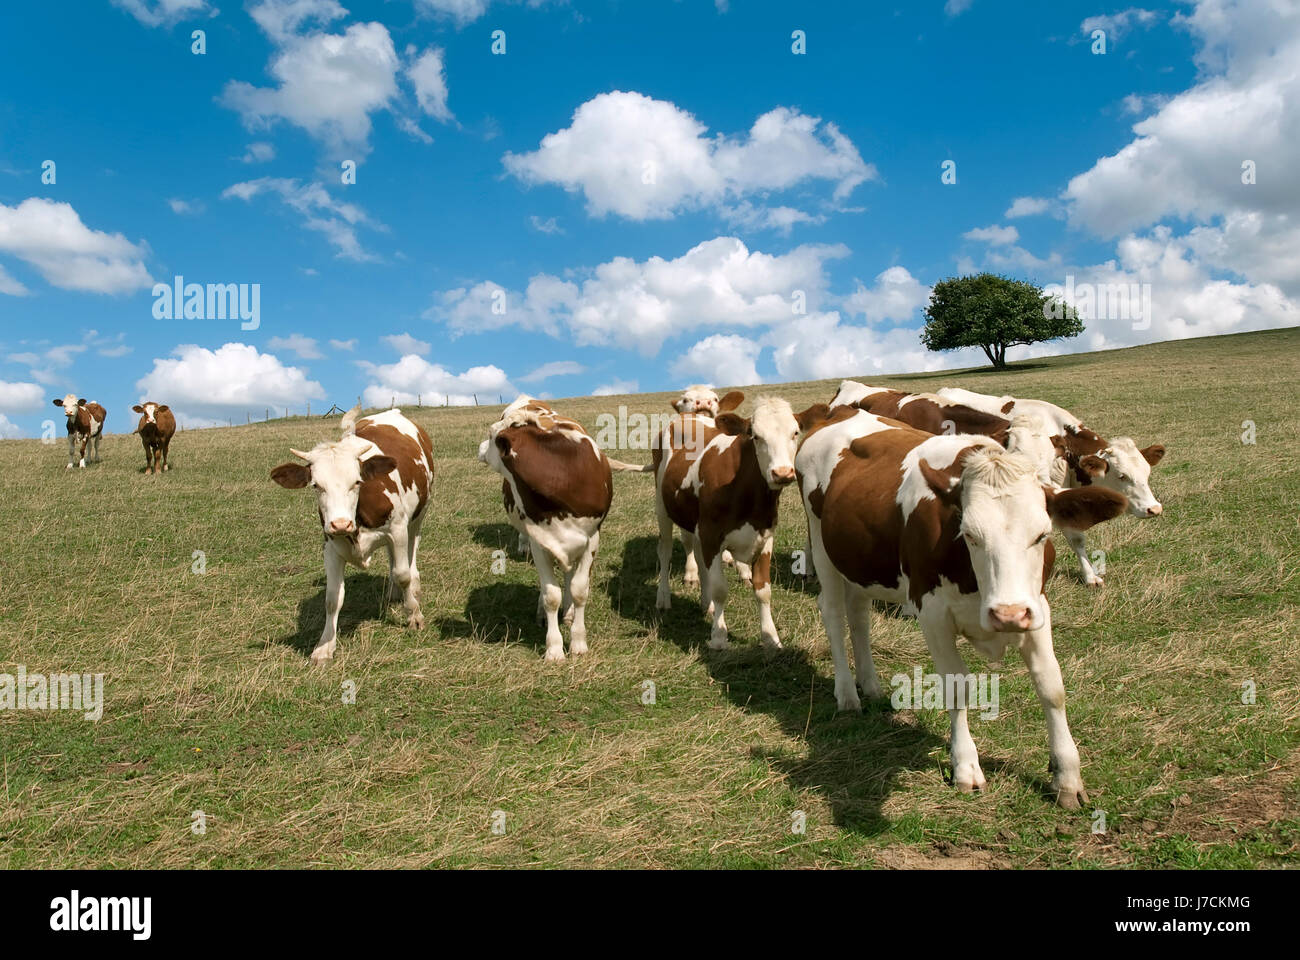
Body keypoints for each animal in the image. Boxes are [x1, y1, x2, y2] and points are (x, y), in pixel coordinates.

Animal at [270, 405, 434, 664]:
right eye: (316, 485)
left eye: (357, 482)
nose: (340, 524)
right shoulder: (330, 546)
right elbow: (332, 598)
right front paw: (324, 646)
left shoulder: (397, 529)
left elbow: (403, 574)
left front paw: (414, 615)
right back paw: (392, 593)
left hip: (419, 515)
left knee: (412, 552)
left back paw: (413, 586)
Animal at [478, 395, 613, 662]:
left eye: (490, 434)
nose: (479, 447)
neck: (561, 476)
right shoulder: (539, 541)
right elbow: (551, 594)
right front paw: (554, 648)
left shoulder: (591, 540)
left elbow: (580, 589)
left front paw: (578, 642)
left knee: (570, 577)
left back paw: (569, 612)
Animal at [653, 393, 824, 650]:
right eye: (756, 436)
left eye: (795, 432)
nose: (782, 473)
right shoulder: (712, 536)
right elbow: (720, 589)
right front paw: (718, 636)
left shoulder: (765, 537)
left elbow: (763, 589)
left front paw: (770, 637)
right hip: (663, 508)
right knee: (664, 552)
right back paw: (663, 598)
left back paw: (706, 603)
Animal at [796, 408, 1127, 806]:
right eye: (970, 534)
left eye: (1041, 534)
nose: (1007, 614)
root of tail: (842, 411)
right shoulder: (932, 614)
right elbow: (956, 687)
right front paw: (966, 766)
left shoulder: (1036, 608)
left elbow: (1052, 686)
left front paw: (1067, 775)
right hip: (823, 550)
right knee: (832, 613)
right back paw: (847, 693)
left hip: (861, 563)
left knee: (859, 617)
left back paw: (870, 685)